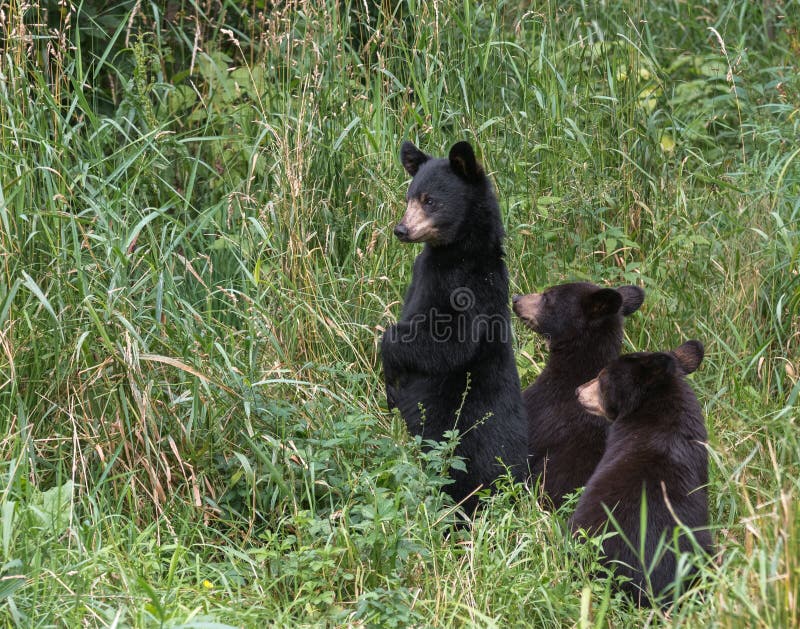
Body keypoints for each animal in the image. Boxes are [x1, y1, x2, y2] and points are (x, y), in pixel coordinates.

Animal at [381, 140, 528, 515]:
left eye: (430, 200)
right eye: (409, 197)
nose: (401, 230)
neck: (456, 252)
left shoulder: (466, 288)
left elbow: (448, 342)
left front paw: (391, 374)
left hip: (465, 449)